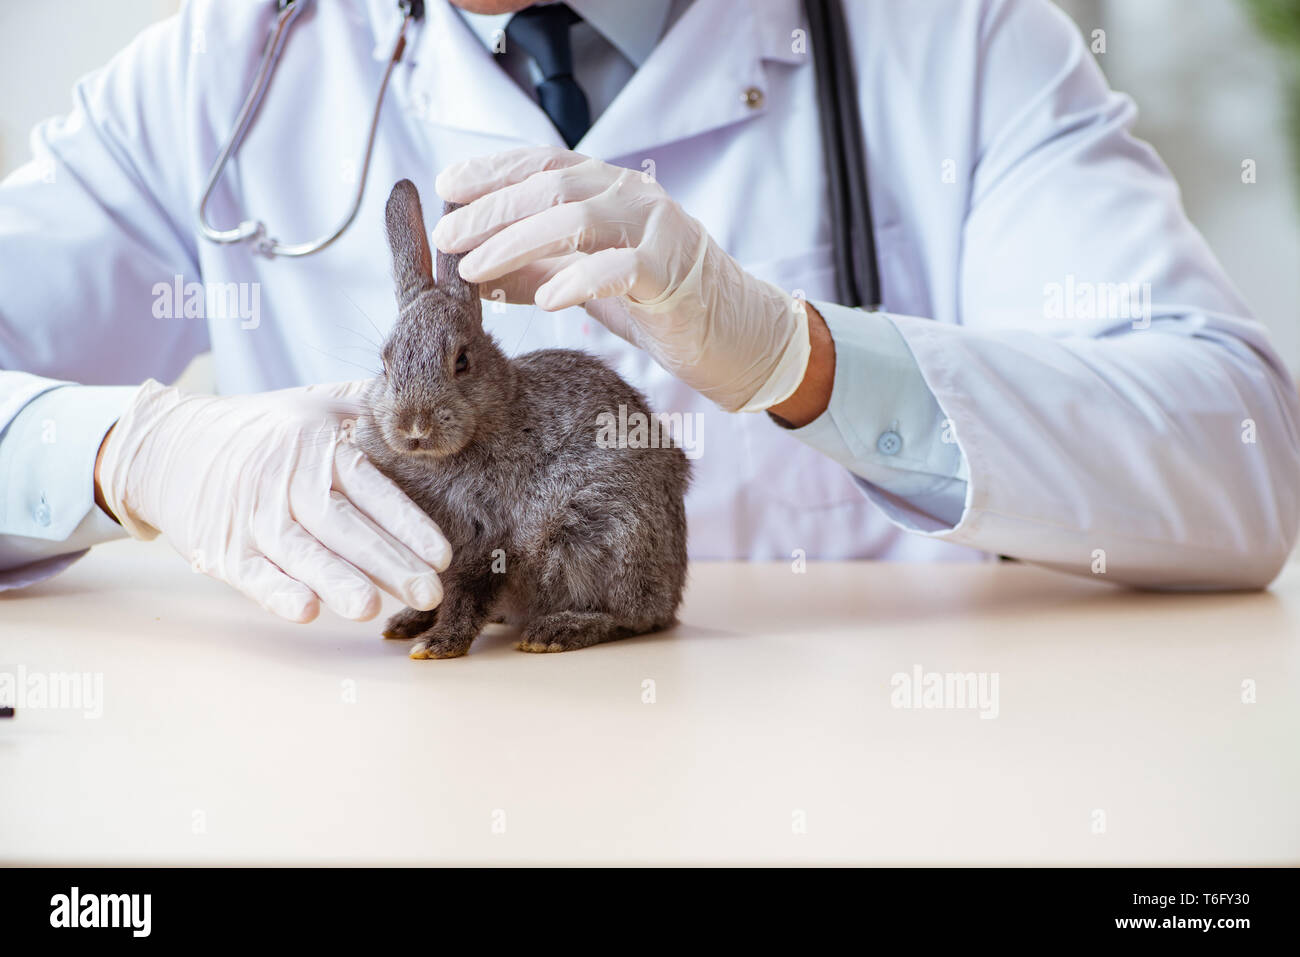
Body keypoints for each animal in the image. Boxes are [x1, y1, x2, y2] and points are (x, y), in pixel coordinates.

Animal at [356, 179, 690, 659]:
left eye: (462, 361)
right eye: (385, 364)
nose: (414, 427)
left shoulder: (490, 538)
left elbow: (468, 593)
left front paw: (439, 645)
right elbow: (434, 592)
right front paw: (408, 623)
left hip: (602, 532)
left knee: (634, 618)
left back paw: (556, 631)